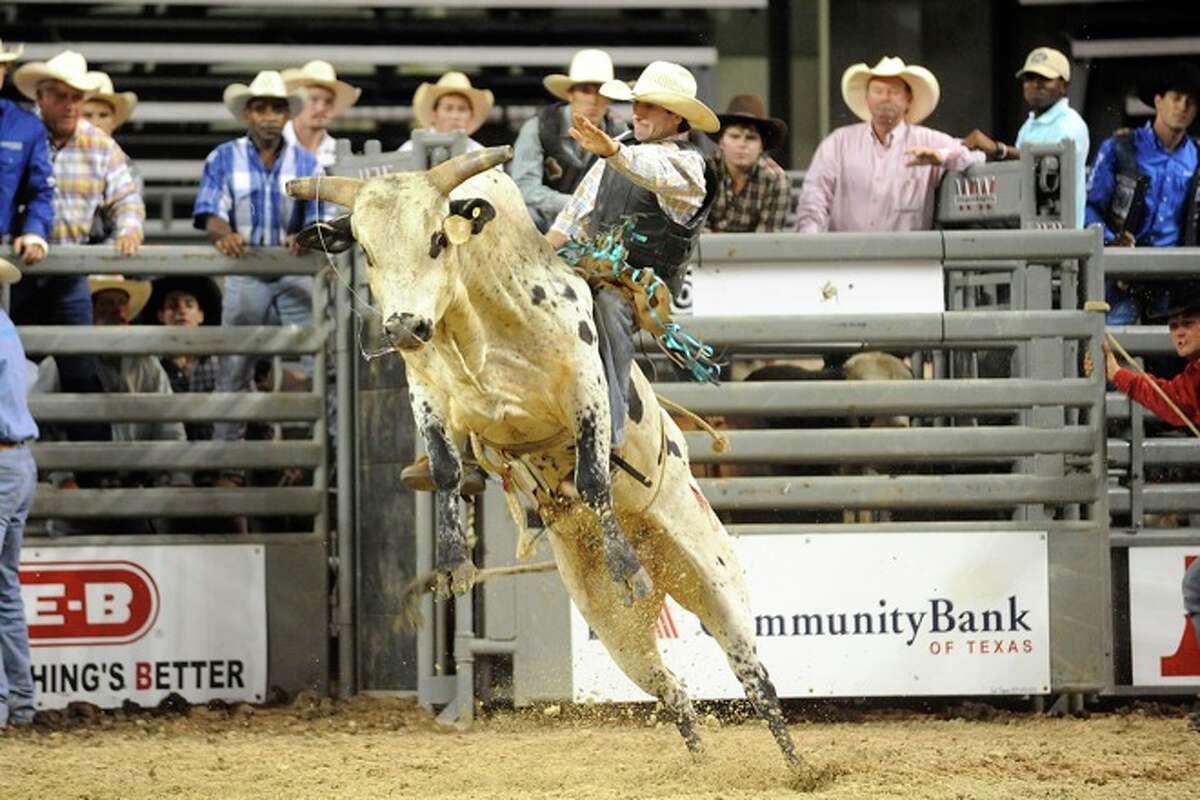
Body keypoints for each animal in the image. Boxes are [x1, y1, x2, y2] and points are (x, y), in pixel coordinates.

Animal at [287, 147, 805, 771]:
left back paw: (801, 767)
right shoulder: (427, 394)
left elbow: (593, 476)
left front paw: (624, 564)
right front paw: (455, 567)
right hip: (612, 623)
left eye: (437, 238)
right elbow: (446, 470)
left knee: (754, 674)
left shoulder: (584, 387)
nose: (404, 326)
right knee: (671, 686)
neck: (479, 324)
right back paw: (701, 762)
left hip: (713, 573)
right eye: (365, 249)